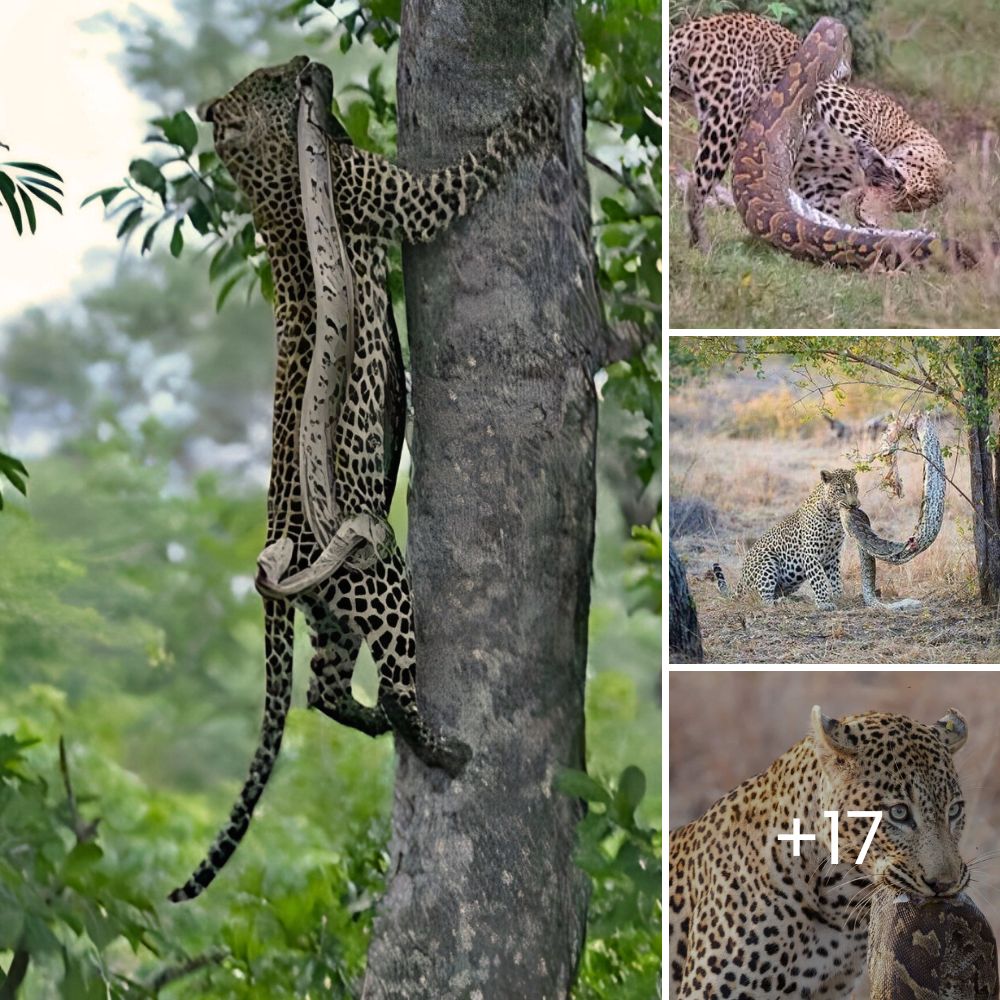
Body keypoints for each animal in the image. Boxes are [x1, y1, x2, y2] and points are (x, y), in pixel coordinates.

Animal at [168, 55, 559, 901]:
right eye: (271, 75)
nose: (308, 63)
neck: (265, 176)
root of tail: (274, 534)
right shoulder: (398, 195)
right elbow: (465, 173)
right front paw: (533, 119)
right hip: (379, 576)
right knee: (397, 682)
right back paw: (433, 742)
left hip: (331, 604)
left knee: (321, 688)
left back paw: (370, 720)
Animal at [668, 12, 953, 246]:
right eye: (912, 191)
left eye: (912, 202)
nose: (895, 182)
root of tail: (694, 27)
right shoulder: (836, 94)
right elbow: (859, 131)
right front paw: (873, 157)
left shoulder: (820, 186)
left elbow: (826, 217)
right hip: (729, 116)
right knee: (695, 186)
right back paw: (701, 244)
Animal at [713, 468, 859, 611]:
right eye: (841, 490)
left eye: (855, 489)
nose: (854, 505)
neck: (834, 517)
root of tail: (741, 580)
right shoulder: (811, 554)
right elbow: (819, 579)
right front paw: (824, 603)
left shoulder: (833, 555)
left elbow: (835, 578)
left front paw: (839, 596)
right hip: (767, 561)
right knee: (763, 599)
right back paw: (782, 602)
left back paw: (796, 598)